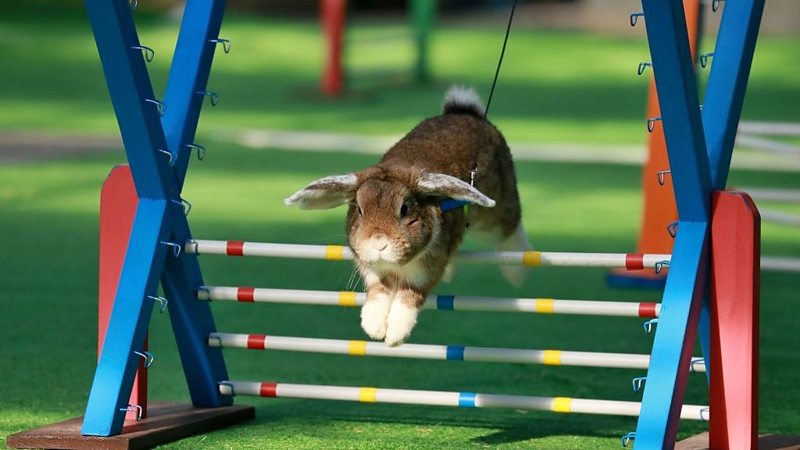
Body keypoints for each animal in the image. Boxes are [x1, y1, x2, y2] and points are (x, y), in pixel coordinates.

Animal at [285, 86, 531, 346]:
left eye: (404, 208)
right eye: (359, 210)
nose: (379, 243)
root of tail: (465, 112)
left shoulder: (425, 273)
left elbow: (408, 297)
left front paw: (394, 335)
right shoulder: (373, 272)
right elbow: (378, 293)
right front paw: (374, 327)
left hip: (492, 213)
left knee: (510, 227)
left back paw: (516, 273)